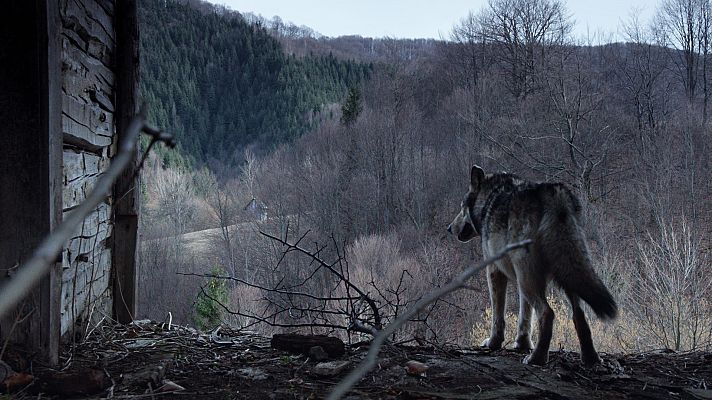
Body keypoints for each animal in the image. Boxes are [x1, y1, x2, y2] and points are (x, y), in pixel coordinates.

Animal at [447, 165, 617, 366]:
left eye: (461, 208)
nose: (449, 228)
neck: (490, 199)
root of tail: (553, 195)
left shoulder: (495, 270)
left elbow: (498, 314)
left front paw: (493, 342)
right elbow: (525, 316)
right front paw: (522, 343)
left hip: (528, 279)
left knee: (547, 313)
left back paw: (537, 358)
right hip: (563, 275)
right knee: (579, 315)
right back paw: (591, 358)